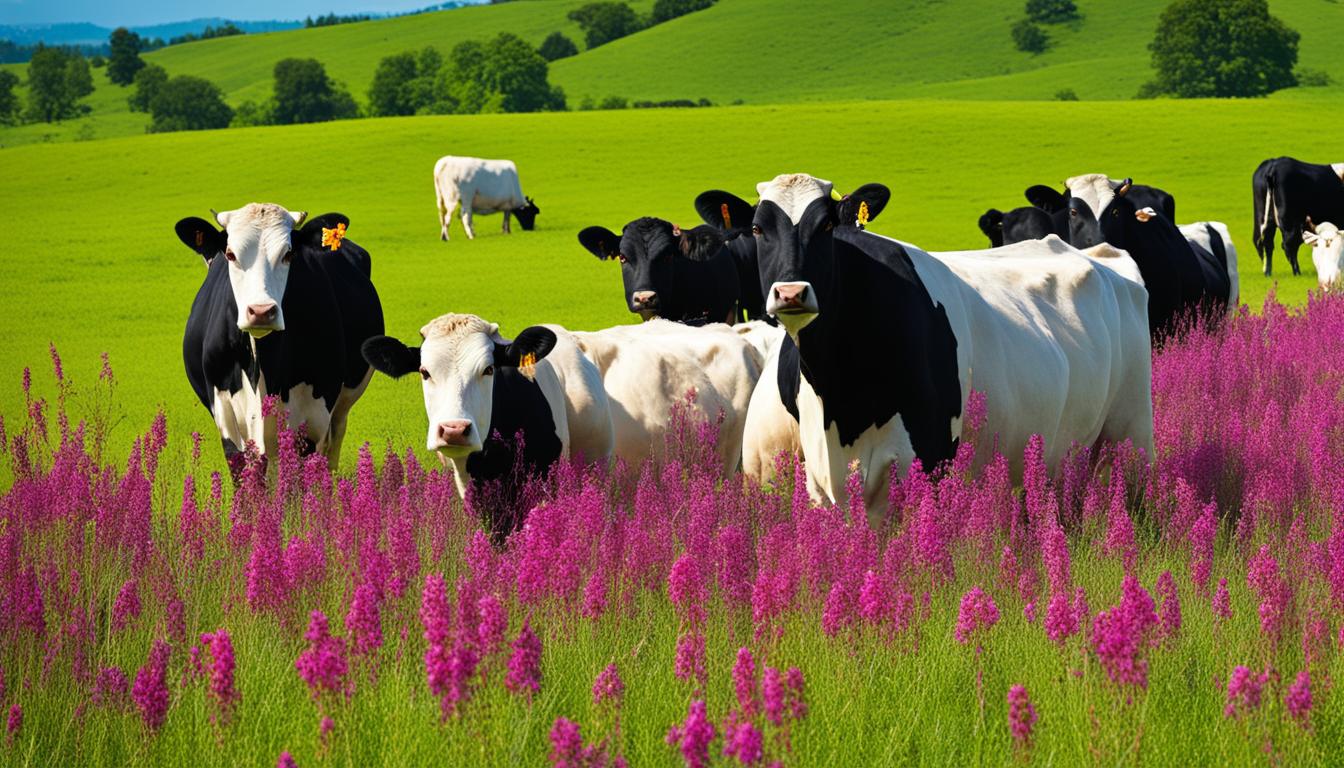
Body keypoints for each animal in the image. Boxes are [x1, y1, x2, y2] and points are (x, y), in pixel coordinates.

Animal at [175, 204, 383, 478]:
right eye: (231, 254)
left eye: (288, 254)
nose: (262, 311)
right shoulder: (226, 415)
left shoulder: (315, 416)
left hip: (345, 399)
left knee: (335, 439)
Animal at [752, 173, 1153, 519]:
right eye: (758, 229)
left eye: (825, 225)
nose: (791, 292)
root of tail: (1102, 253)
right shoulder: (822, 480)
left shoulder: (925, 461)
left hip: (1129, 432)